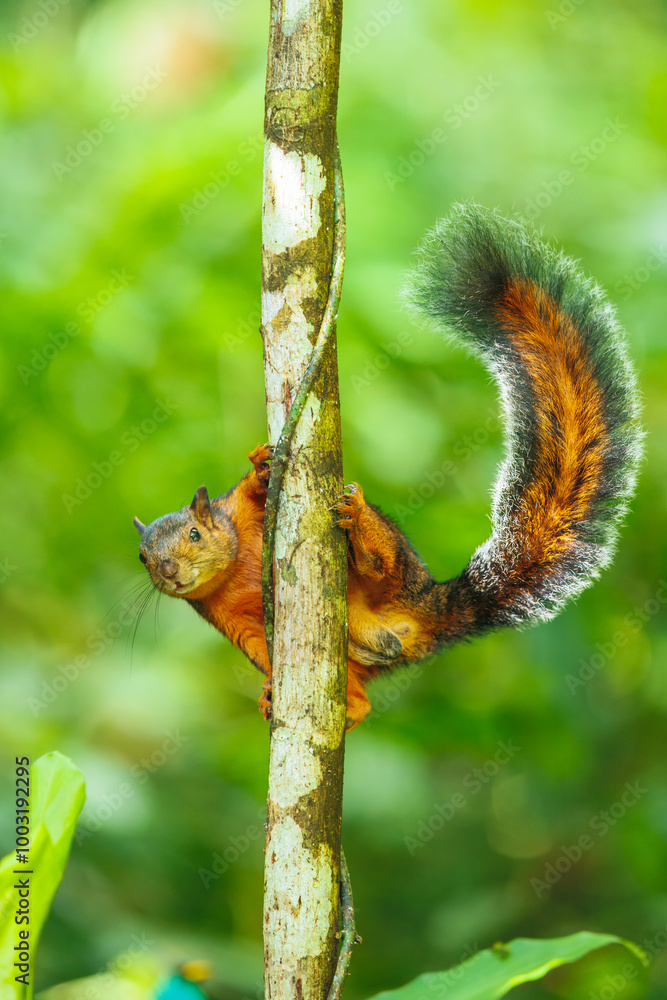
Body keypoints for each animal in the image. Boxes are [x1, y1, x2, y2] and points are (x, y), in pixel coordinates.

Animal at [133, 204, 641, 730]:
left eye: (195, 534)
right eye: (143, 558)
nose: (168, 571)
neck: (234, 570)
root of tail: (427, 607)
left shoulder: (235, 509)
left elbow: (253, 491)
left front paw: (260, 466)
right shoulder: (236, 625)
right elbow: (261, 651)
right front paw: (269, 693)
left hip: (396, 571)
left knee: (381, 566)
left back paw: (357, 523)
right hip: (356, 654)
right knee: (361, 699)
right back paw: (331, 706)